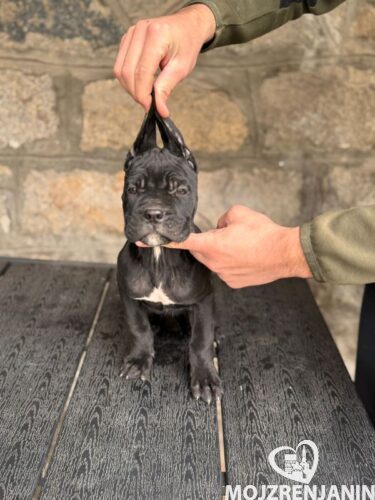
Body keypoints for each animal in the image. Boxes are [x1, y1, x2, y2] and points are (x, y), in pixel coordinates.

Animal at [117, 95, 223, 404]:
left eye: (180, 190)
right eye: (133, 189)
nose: (153, 213)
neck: (159, 256)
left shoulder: (203, 301)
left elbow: (200, 340)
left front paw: (205, 378)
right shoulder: (129, 297)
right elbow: (139, 329)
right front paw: (139, 360)